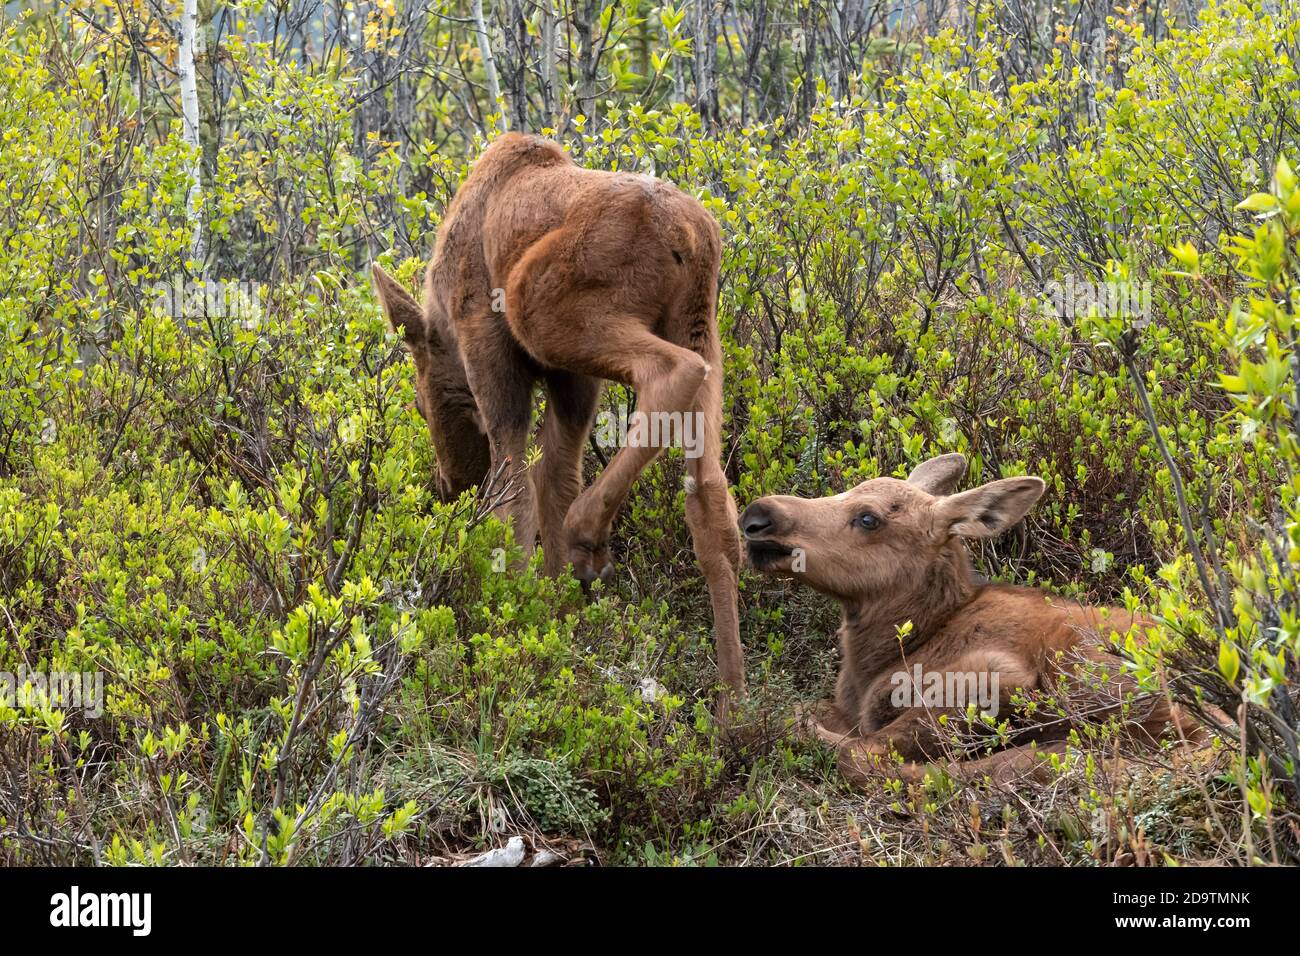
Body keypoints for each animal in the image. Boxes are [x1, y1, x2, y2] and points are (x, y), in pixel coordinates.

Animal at [371, 132, 744, 702]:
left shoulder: (486, 338)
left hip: (539, 305)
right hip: (696, 320)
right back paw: (735, 702)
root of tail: (690, 235)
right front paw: (558, 611)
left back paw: (584, 535)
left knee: (674, 372)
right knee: (710, 498)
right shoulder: (573, 382)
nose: (446, 482)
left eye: (418, 403)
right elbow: (556, 473)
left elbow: (514, 491)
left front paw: (517, 614)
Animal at [740, 453, 1209, 785]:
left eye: (869, 517)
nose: (756, 515)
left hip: (1092, 677)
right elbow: (802, 711)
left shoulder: (993, 675)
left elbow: (852, 750)